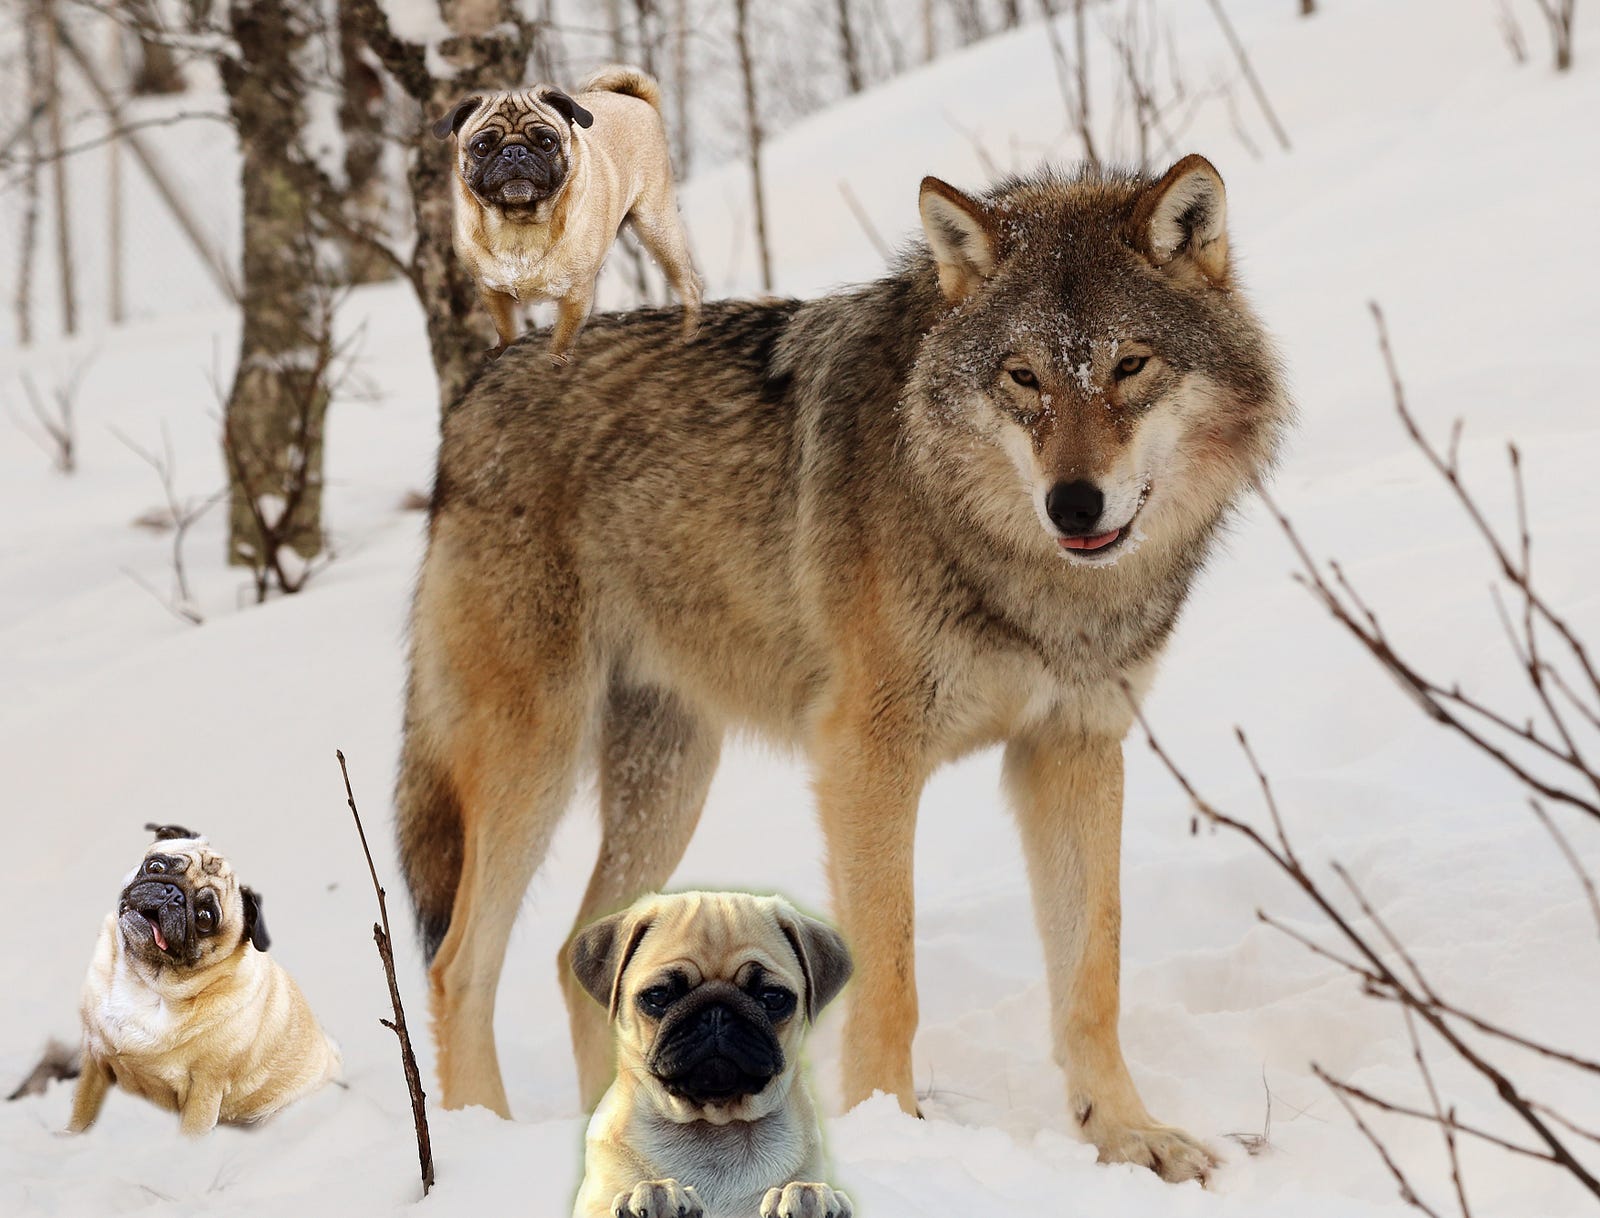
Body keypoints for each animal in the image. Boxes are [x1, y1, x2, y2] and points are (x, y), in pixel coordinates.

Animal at [396, 154, 1290, 1183]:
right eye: (1023, 378)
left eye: (1130, 366)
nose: (1073, 504)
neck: (1025, 574)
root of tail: (474, 392)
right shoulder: (867, 757)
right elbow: (891, 976)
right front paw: (889, 1132)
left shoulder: (1072, 749)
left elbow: (1091, 974)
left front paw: (1127, 1135)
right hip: (534, 761)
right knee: (460, 965)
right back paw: (479, 1145)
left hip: (670, 779)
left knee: (582, 956)